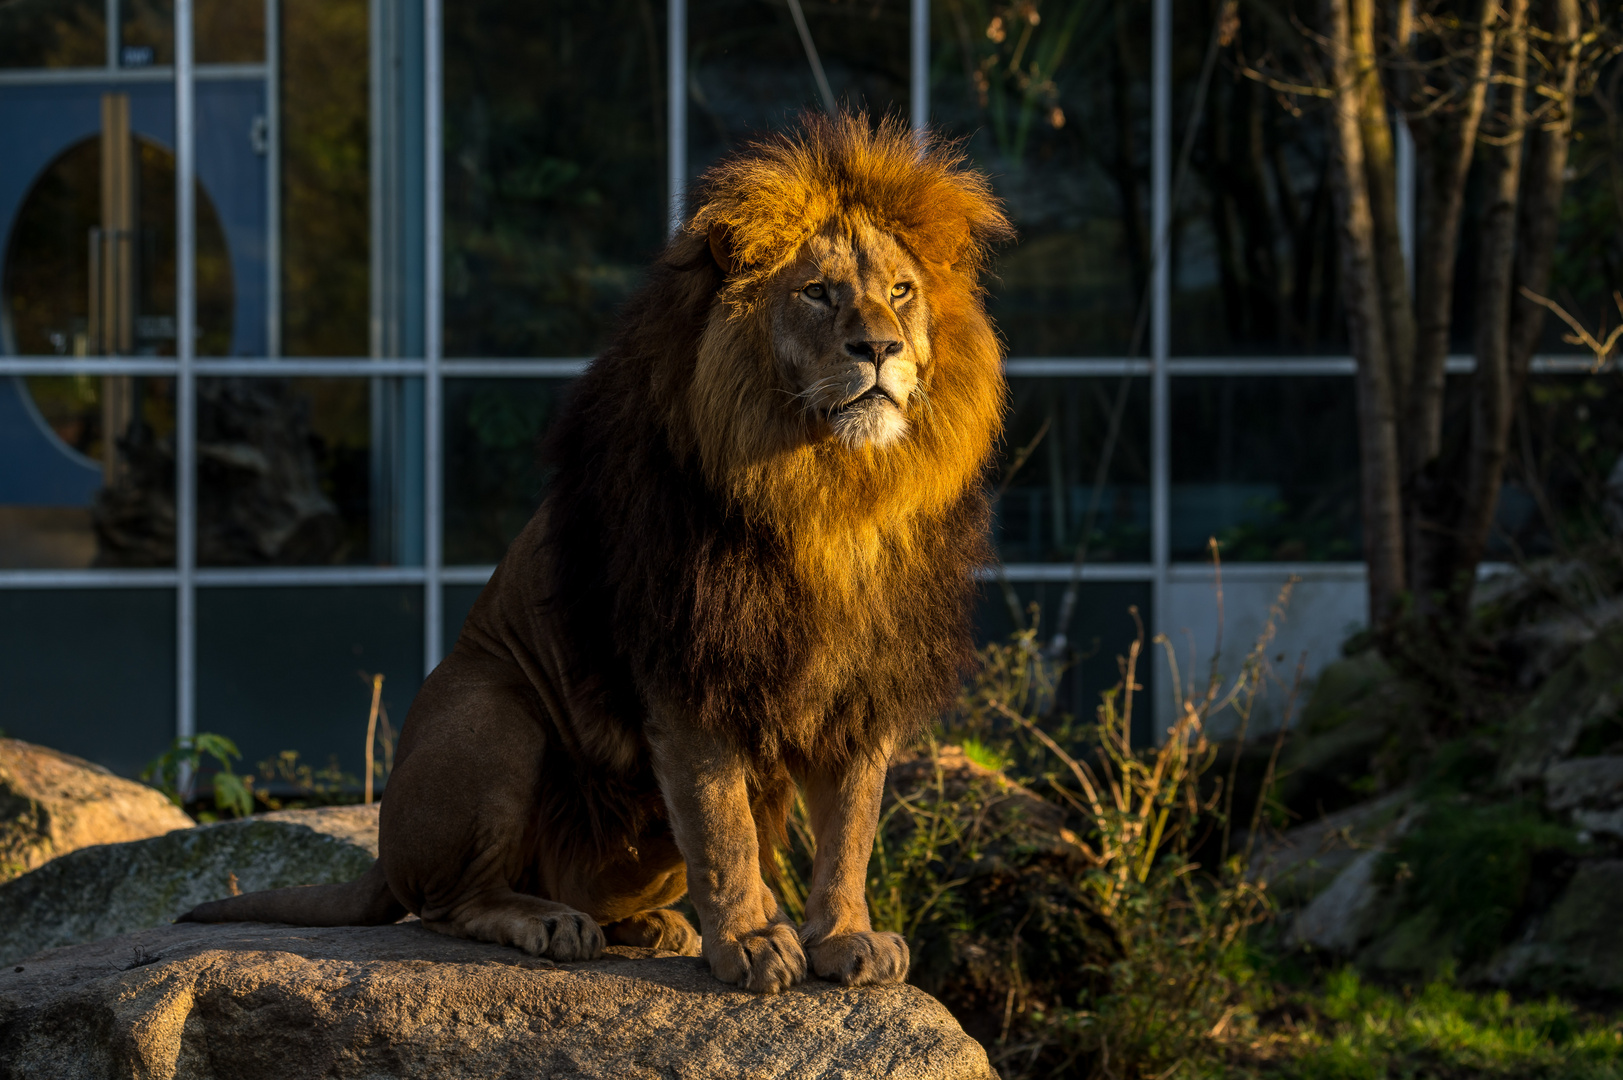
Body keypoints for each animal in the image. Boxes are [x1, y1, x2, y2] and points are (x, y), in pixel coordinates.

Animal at [184, 116, 1006, 993]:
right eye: (816, 292)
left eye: (900, 292)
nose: (878, 348)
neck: (831, 494)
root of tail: (380, 851)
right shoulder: (685, 672)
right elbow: (724, 828)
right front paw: (752, 940)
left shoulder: (864, 684)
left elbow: (850, 828)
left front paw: (846, 936)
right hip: (495, 715)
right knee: (447, 904)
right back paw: (548, 923)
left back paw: (650, 926)